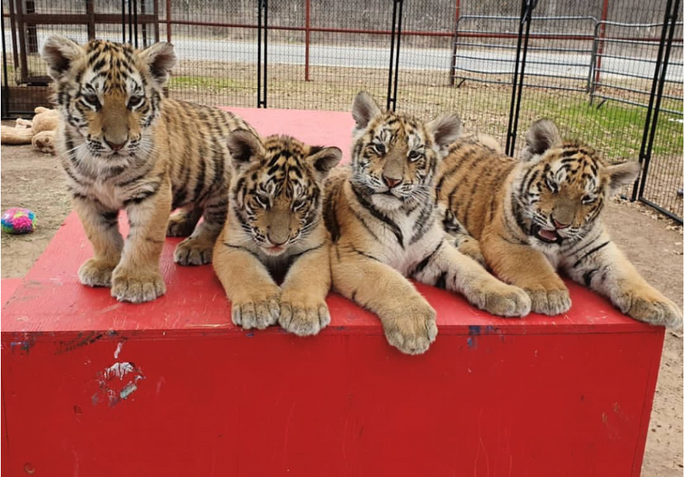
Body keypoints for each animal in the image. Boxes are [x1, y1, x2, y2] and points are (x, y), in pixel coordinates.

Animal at [41, 35, 256, 303]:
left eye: (135, 101)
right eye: (91, 99)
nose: (116, 143)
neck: (103, 167)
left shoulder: (151, 191)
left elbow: (144, 238)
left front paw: (137, 282)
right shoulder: (85, 195)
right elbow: (99, 233)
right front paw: (105, 266)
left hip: (222, 181)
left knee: (214, 220)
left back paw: (195, 246)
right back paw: (178, 223)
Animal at [213, 131, 342, 336]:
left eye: (298, 203)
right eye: (262, 199)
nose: (278, 242)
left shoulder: (317, 246)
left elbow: (307, 274)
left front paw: (304, 313)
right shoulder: (230, 245)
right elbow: (246, 270)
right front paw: (258, 306)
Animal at [323, 91, 532, 355]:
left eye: (414, 155)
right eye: (379, 148)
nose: (391, 181)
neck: (402, 212)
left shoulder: (434, 251)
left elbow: (470, 270)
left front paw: (510, 294)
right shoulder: (351, 256)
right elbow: (392, 282)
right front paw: (414, 325)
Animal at [435, 118, 682, 328]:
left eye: (587, 198)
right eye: (552, 185)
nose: (560, 224)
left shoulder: (596, 248)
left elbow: (626, 272)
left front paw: (660, 305)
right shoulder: (506, 239)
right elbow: (532, 262)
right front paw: (549, 294)